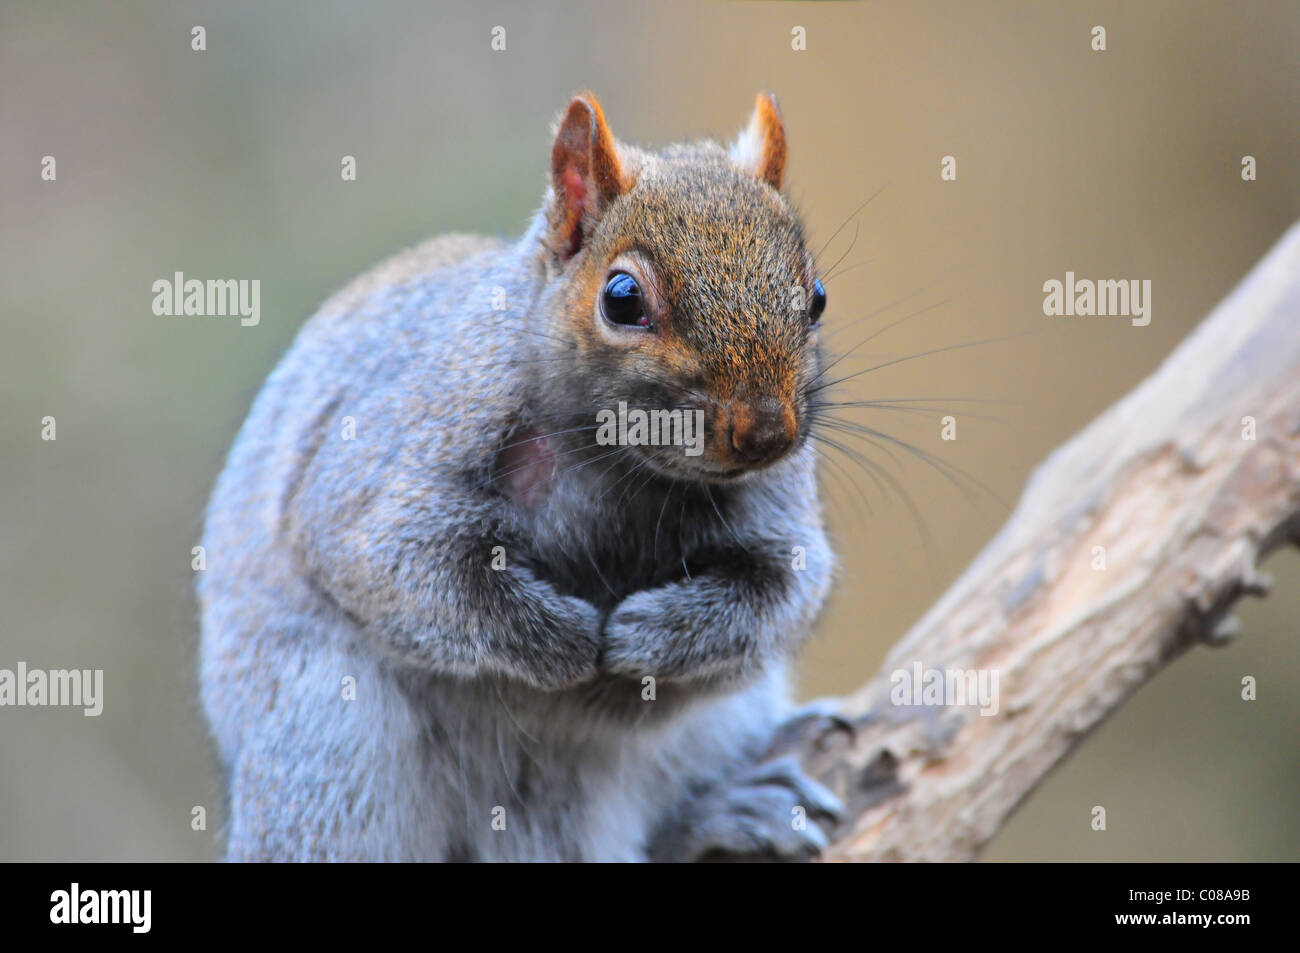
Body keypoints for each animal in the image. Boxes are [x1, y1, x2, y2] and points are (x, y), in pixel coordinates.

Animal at [198, 91, 842, 862]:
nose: (767, 432)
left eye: (816, 297)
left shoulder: (779, 515)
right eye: (622, 298)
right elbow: (393, 561)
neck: (615, 466)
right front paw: (562, 642)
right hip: (325, 748)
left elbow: (782, 592)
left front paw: (645, 637)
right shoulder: (398, 453)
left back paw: (729, 807)